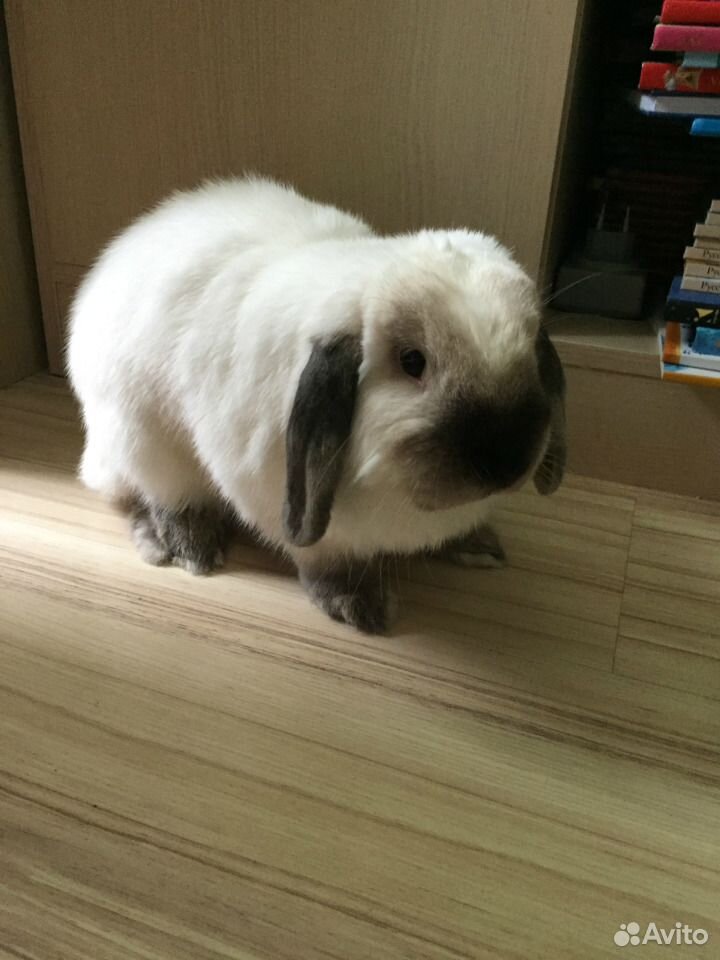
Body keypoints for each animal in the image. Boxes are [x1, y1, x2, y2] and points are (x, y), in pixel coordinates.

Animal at [67, 176, 566, 633]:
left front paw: (476, 542)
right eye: (412, 362)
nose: (507, 462)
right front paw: (359, 605)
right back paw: (186, 548)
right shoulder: (291, 505)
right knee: (154, 495)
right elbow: (327, 560)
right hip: (144, 441)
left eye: (529, 350)